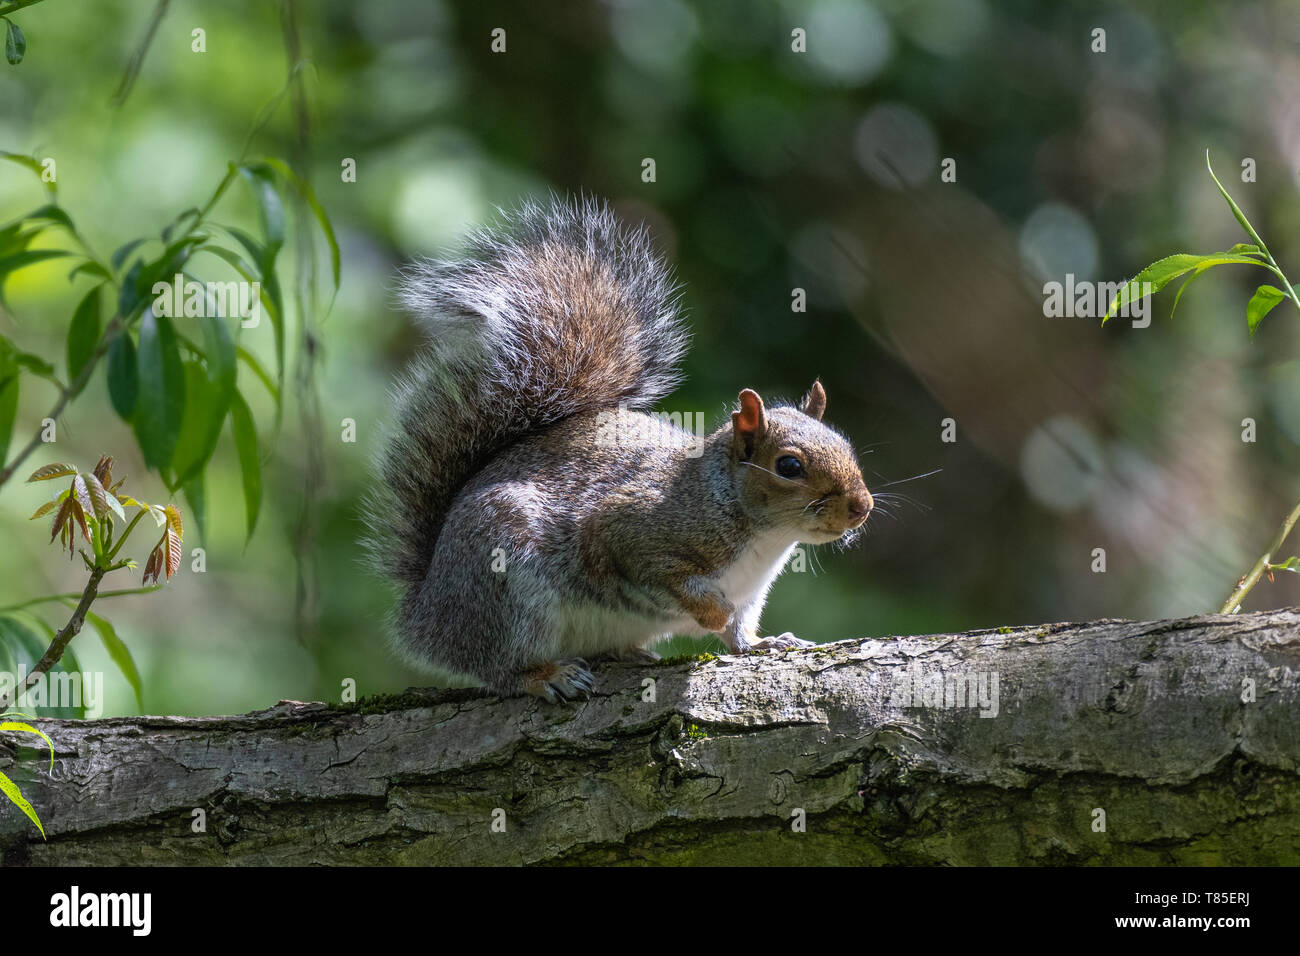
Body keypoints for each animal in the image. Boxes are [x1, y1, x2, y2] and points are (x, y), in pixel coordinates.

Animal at [366, 197, 873, 702]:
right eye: (788, 466)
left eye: (847, 446)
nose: (862, 507)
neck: (761, 535)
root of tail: (427, 616)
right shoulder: (633, 533)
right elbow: (669, 580)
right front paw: (713, 613)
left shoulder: (751, 593)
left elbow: (740, 632)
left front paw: (761, 643)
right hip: (507, 585)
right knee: (502, 667)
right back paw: (547, 676)